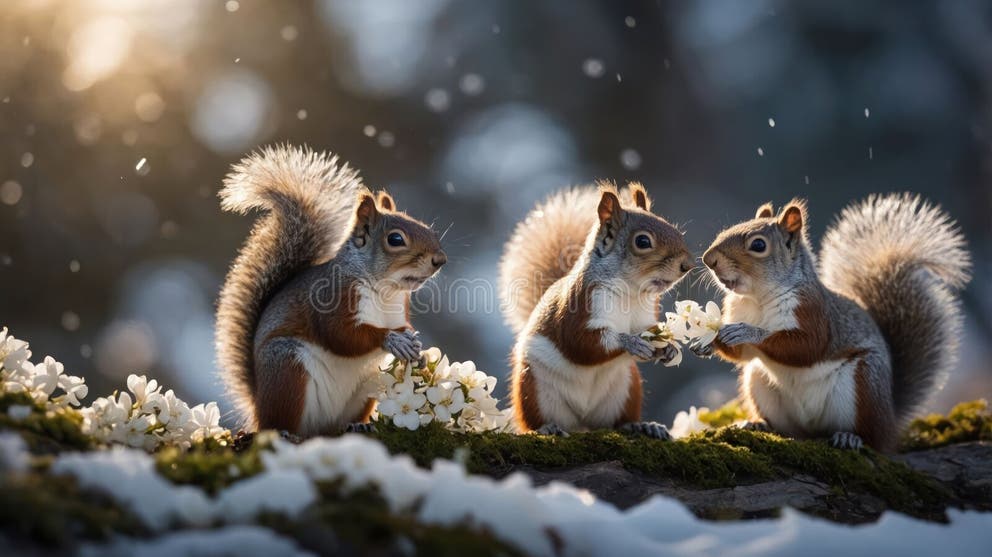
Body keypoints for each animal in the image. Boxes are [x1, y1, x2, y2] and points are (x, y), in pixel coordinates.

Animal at [215, 145, 446, 436]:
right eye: (395, 239)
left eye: (428, 229)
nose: (440, 260)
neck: (385, 291)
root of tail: (257, 404)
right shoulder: (333, 298)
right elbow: (341, 335)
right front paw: (392, 340)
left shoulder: (398, 311)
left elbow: (402, 327)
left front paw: (419, 351)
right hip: (287, 369)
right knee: (278, 419)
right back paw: (282, 431)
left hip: (369, 384)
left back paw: (358, 425)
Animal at [499, 182, 695, 438]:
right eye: (643, 242)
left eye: (673, 229)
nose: (688, 265)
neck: (630, 294)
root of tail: (582, 419)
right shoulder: (579, 307)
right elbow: (583, 343)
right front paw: (630, 341)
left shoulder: (644, 318)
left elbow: (651, 331)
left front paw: (669, 347)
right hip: (534, 390)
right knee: (533, 421)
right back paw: (547, 428)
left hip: (627, 388)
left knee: (616, 422)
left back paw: (642, 426)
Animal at [693, 194, 971, 451]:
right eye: (725, 231)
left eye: (758, 244)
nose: (709, 259)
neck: (757, 298)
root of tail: (891, 419)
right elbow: (742, 355)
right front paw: (708, 342)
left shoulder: (812, 313)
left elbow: (806, 347)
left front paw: (749, 332)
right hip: (759, 381)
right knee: (789, 429)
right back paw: (758, 423)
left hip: (865, 382)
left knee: (873, 439)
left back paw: (851, 437)